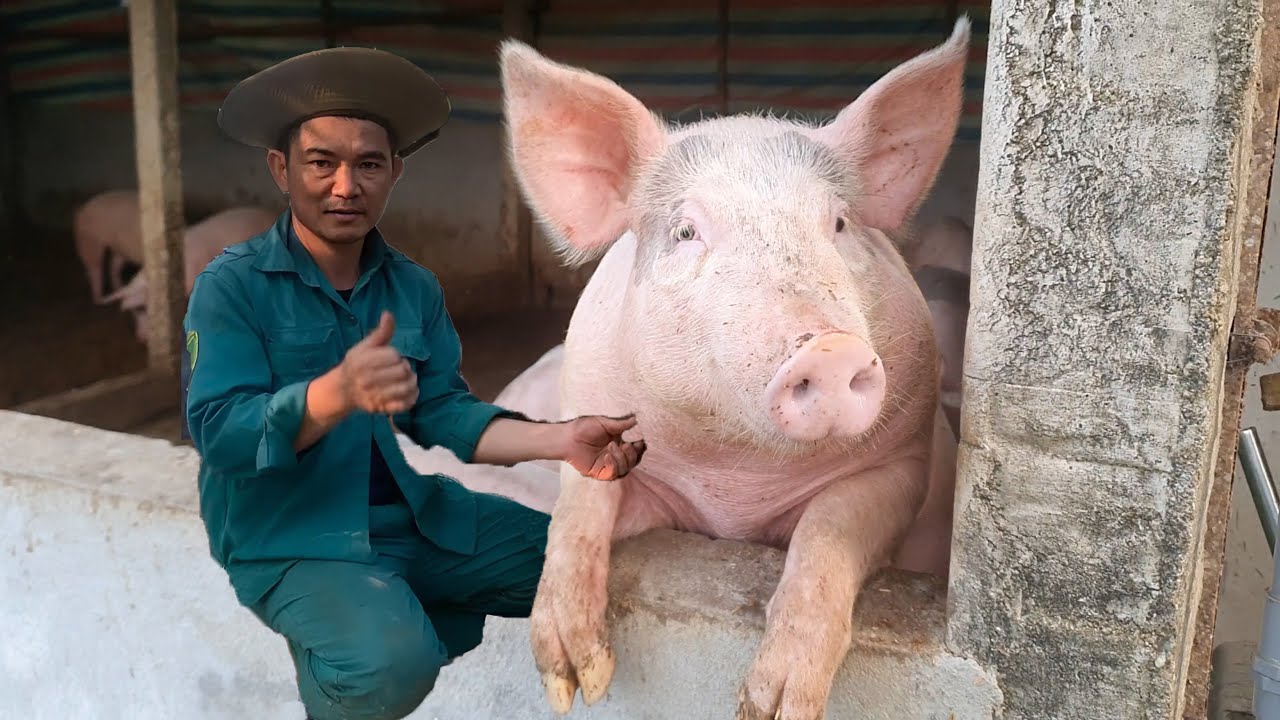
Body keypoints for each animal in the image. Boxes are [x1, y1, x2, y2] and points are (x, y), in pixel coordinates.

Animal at [498, 16, 971, 720]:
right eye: (686, 232)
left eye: (838, 223)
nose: (830, 349)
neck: (736, 476)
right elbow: (578, 506)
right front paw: (576, 684)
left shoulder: (903, 461)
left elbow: (829, 529)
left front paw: (774, 705)